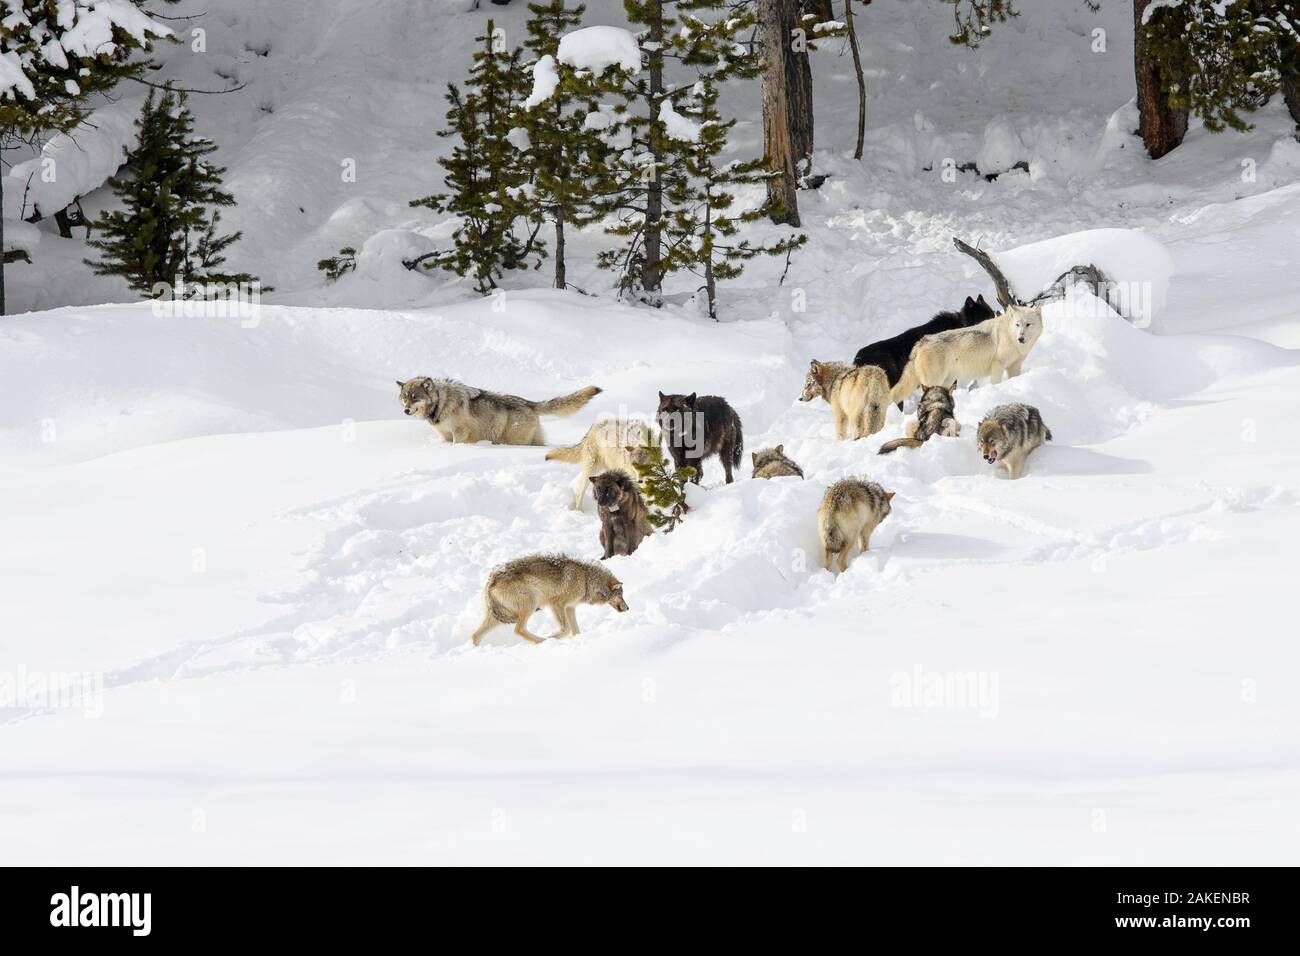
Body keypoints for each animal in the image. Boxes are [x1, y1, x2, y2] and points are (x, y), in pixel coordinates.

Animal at [397, 377, 600, 446]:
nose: (406, 410)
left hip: (514, 440)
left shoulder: (460, 433)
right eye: (405, 397)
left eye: (415, 397)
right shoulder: (445, 435)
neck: (441, 403)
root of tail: (529, 403)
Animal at [468, 554, 629, 645]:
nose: (628, 608)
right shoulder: (556, 604)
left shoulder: (570, 608)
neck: (586, 580)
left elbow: (576, 631)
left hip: (497, 618)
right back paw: (542, 641)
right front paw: (552, 637)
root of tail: (491, 580)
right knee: (519, 630)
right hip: (531, 603)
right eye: (621, 595)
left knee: (475, 636)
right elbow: (566, 629)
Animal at [893, 303, 1043, 400]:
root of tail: (922, 342)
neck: (1010, 337)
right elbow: (996, 383)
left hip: (948, 381)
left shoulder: (1015, 366)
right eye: (1017, 325)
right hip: (933, 381)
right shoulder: (998, 365)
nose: (1020, 338)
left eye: (1028, 325)